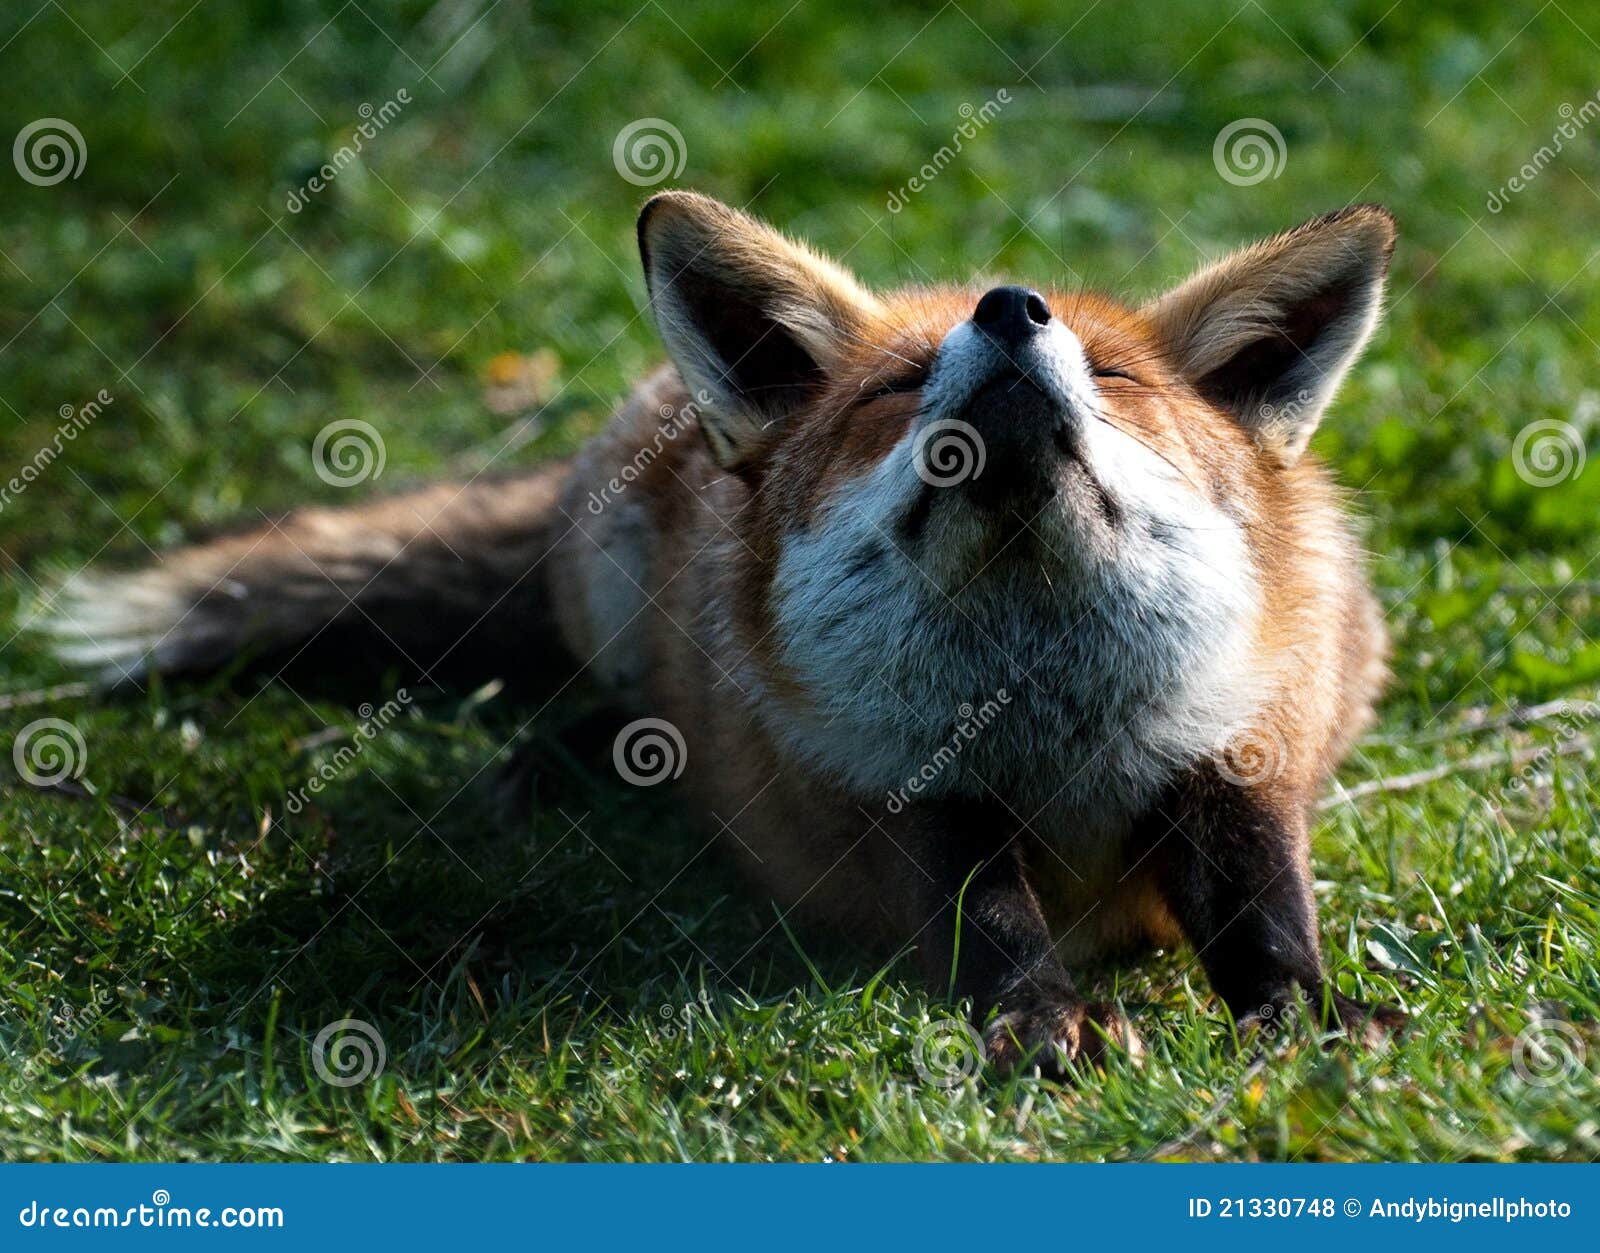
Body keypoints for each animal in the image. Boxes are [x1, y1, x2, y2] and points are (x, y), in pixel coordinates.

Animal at [43, 191, 1406, 1074]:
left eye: (1115, 377)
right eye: (892, 387)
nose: (1010, 309)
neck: (1042, 717)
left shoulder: (1235, 750)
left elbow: (1265, 915)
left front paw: (1310, 1022)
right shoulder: (904, 793)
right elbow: (993, 922)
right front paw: (1033, 1026)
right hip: (608, 589)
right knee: (617, 699)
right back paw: (562, 764)